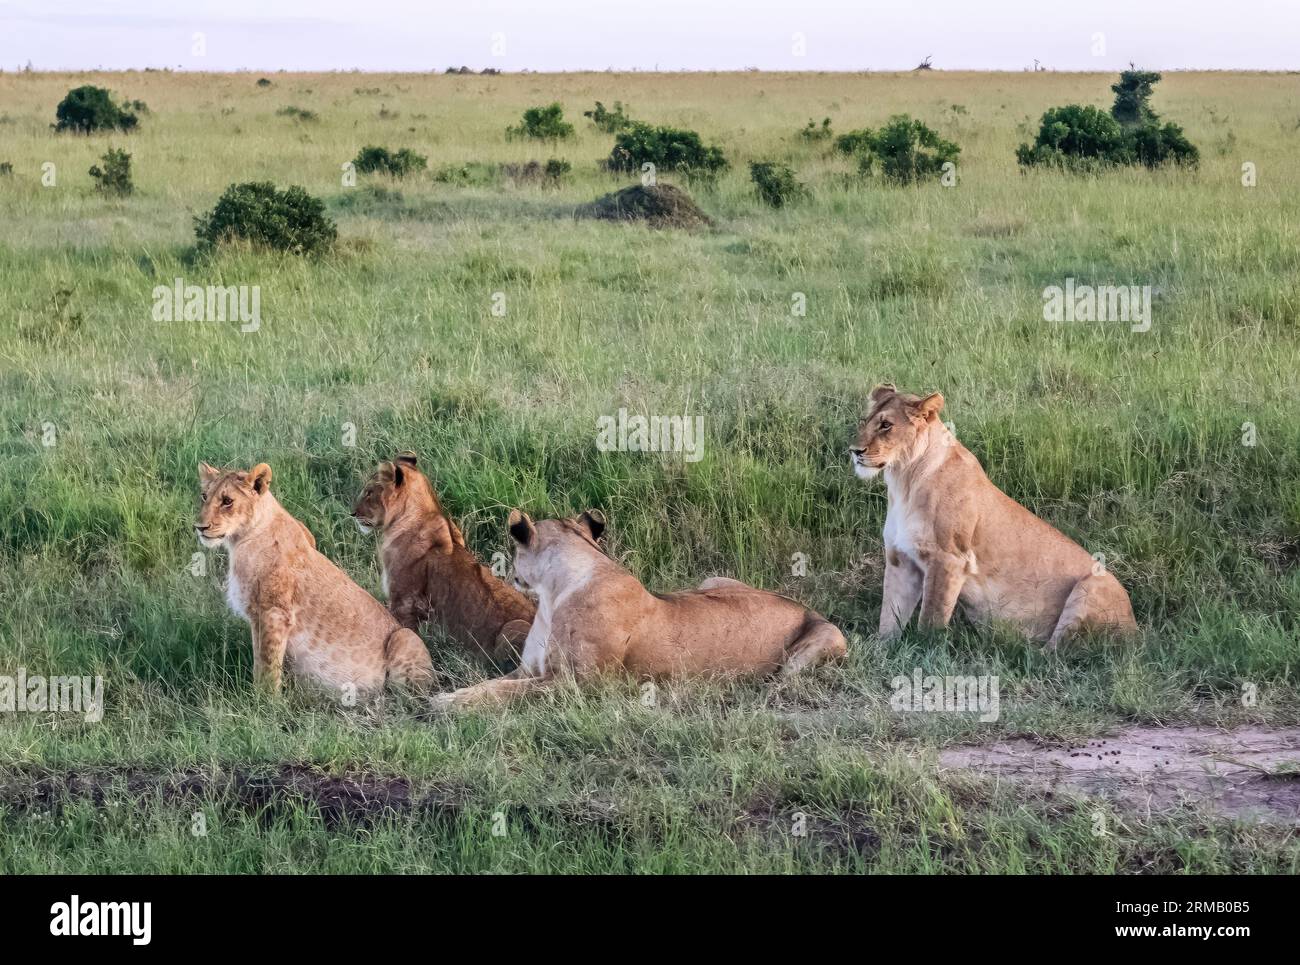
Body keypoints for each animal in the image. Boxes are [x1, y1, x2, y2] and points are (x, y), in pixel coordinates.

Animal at [196, 462, 434, 695]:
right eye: (204, 496)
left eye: (227, 501)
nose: (199, 527)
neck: (238, 541)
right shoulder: (258, 617)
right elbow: (260, 662)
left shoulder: (274, 612)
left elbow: (267, 667)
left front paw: (265, 702)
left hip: (404, 637)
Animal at [430, 509, 847, 709]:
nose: (512, 573)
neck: (553, 593)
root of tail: (808, 607)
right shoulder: (530, 670)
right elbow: (492, 685)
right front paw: (453, 695)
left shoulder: (580, 685)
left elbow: (508, 694)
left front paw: (448, 705)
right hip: (712, 580)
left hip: (824, 641)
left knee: (783, 680)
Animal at [850, 386, 1137, 648]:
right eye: (865, 421)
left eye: (886, 425)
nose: (854, 451)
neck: (903, 481)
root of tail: (1136, 629)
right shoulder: (901, 559)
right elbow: (889, 615)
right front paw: (881, 652)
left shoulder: (948, 559)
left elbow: (930, 620)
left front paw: (922, 652)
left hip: (1093, 585)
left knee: (1056, 654)